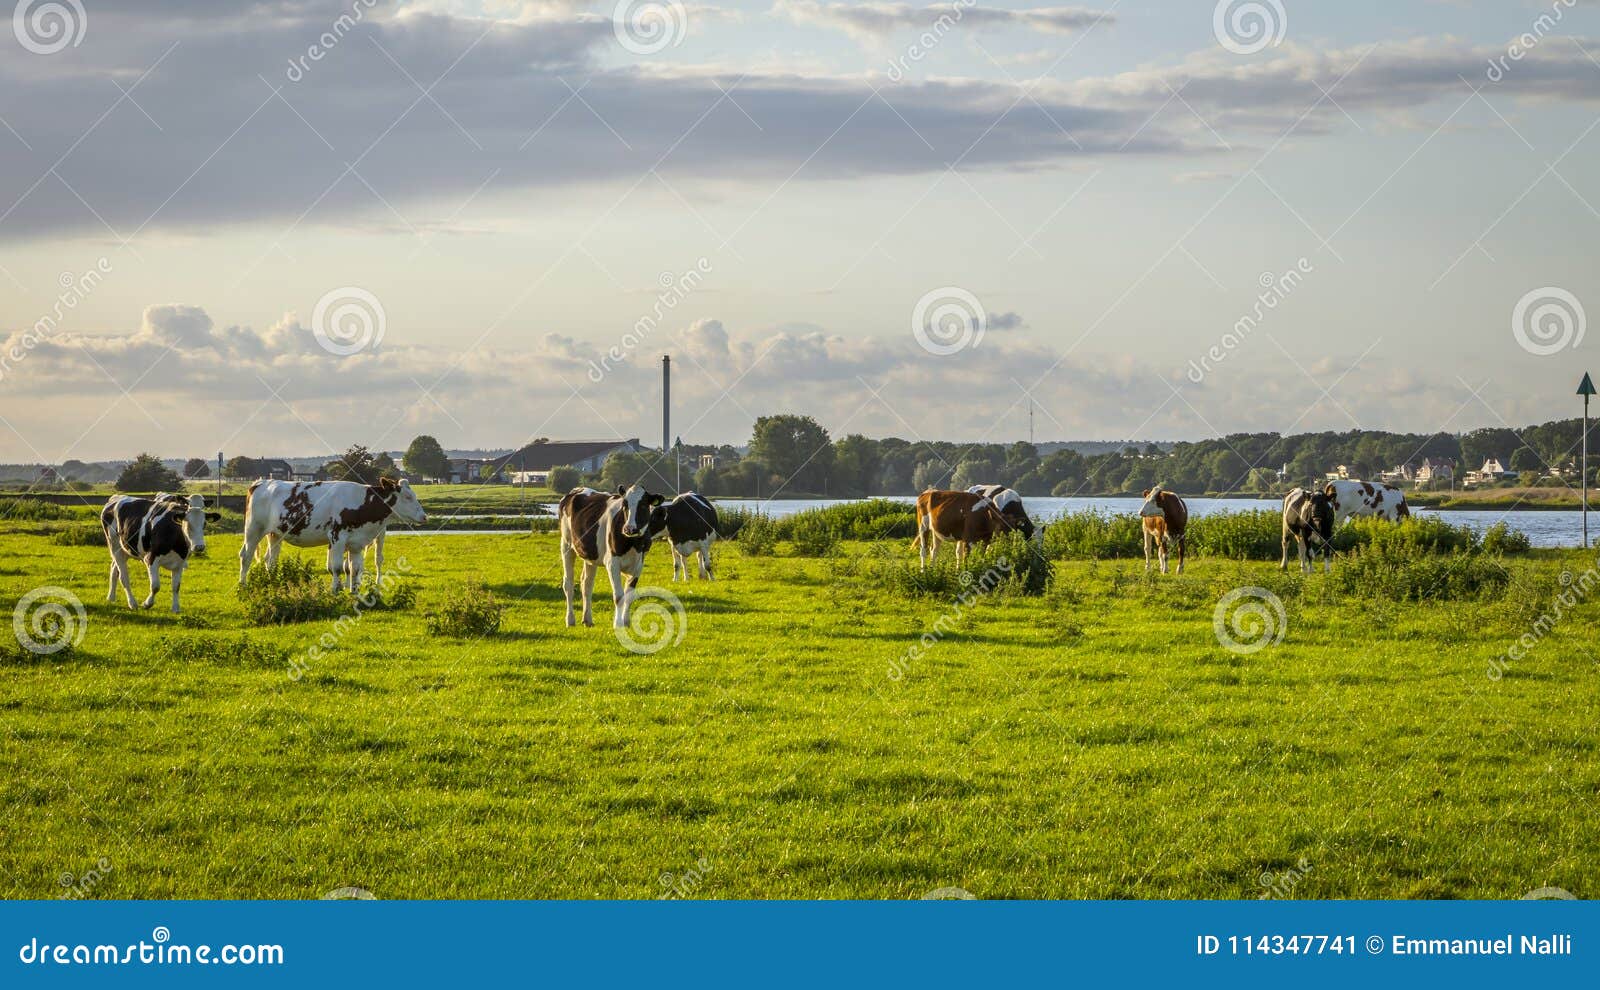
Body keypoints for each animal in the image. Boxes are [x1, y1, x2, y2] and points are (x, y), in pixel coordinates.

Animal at [239, 478, 426, 593]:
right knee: (246, 556)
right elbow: (336, 567)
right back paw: (243, 585)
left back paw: (272, 583)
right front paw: (336, 590)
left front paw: (354, 592)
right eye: (408, 497)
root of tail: (261, 482)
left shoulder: (357, 543)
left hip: (276, 534)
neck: (360, 502)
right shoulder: (337, 537)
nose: (424, 516)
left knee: (271, 561)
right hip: (253, 529)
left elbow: (354, 568)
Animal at [559, 484, 664, 628]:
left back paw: (587, 619)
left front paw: (626, 622)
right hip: (566, 545)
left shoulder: (638, 565)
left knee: (586, 584)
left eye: (643, 505)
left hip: (590, 554)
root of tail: (577, 490)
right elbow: (619, 596)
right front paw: (617, 624)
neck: (633, 543)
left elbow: (629, 596)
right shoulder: (612, 564)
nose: (629, 529)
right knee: (568, 584)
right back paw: (570, 620)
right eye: (624, 505)